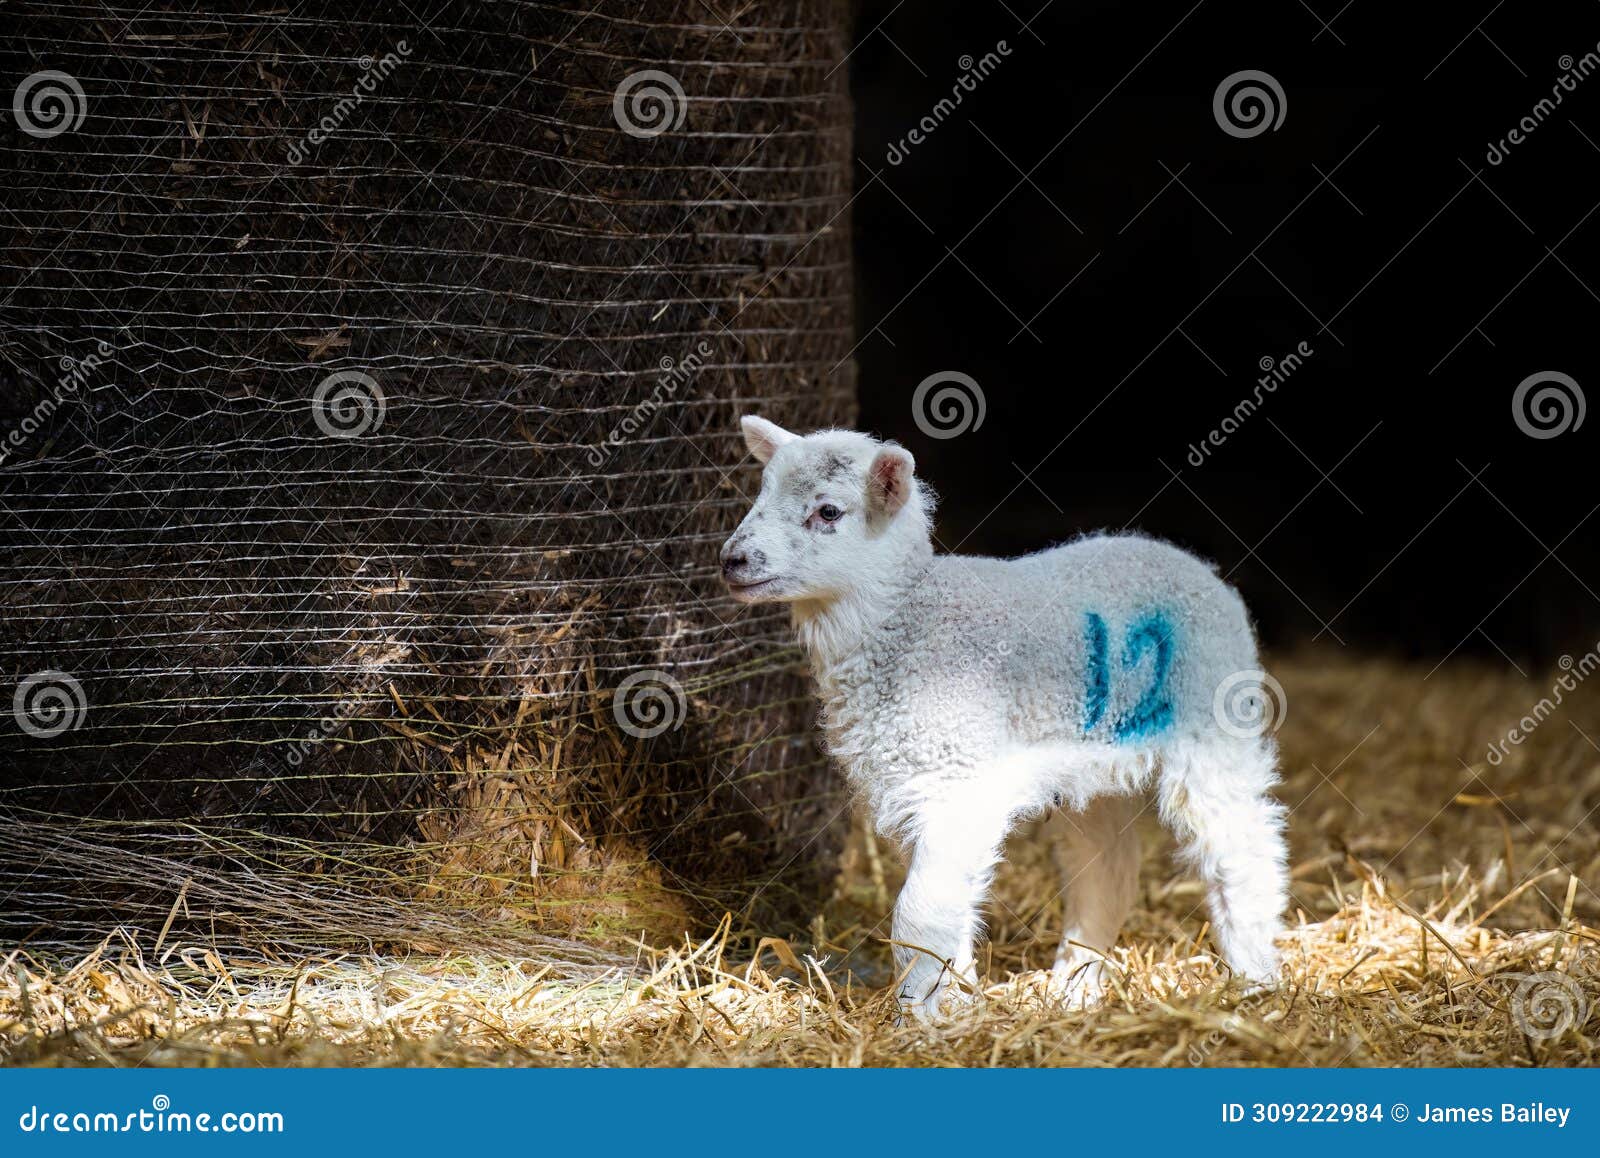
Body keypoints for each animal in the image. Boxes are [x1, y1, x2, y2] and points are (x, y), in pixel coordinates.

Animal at [720, 415, 1289, 1021]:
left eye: (828, 512)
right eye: (761, 492)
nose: (732, 560)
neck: (906, 621)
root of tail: (1191, 563)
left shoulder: (956, 778)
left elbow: (918, 914)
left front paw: (919, 1018)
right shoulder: (913, 782)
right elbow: (943, 906)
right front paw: (956, 998)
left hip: (1213, 728)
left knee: (1242, 849)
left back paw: (1256, 981)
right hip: (1092, 762)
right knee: (1105, 869)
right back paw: (1075, 986)